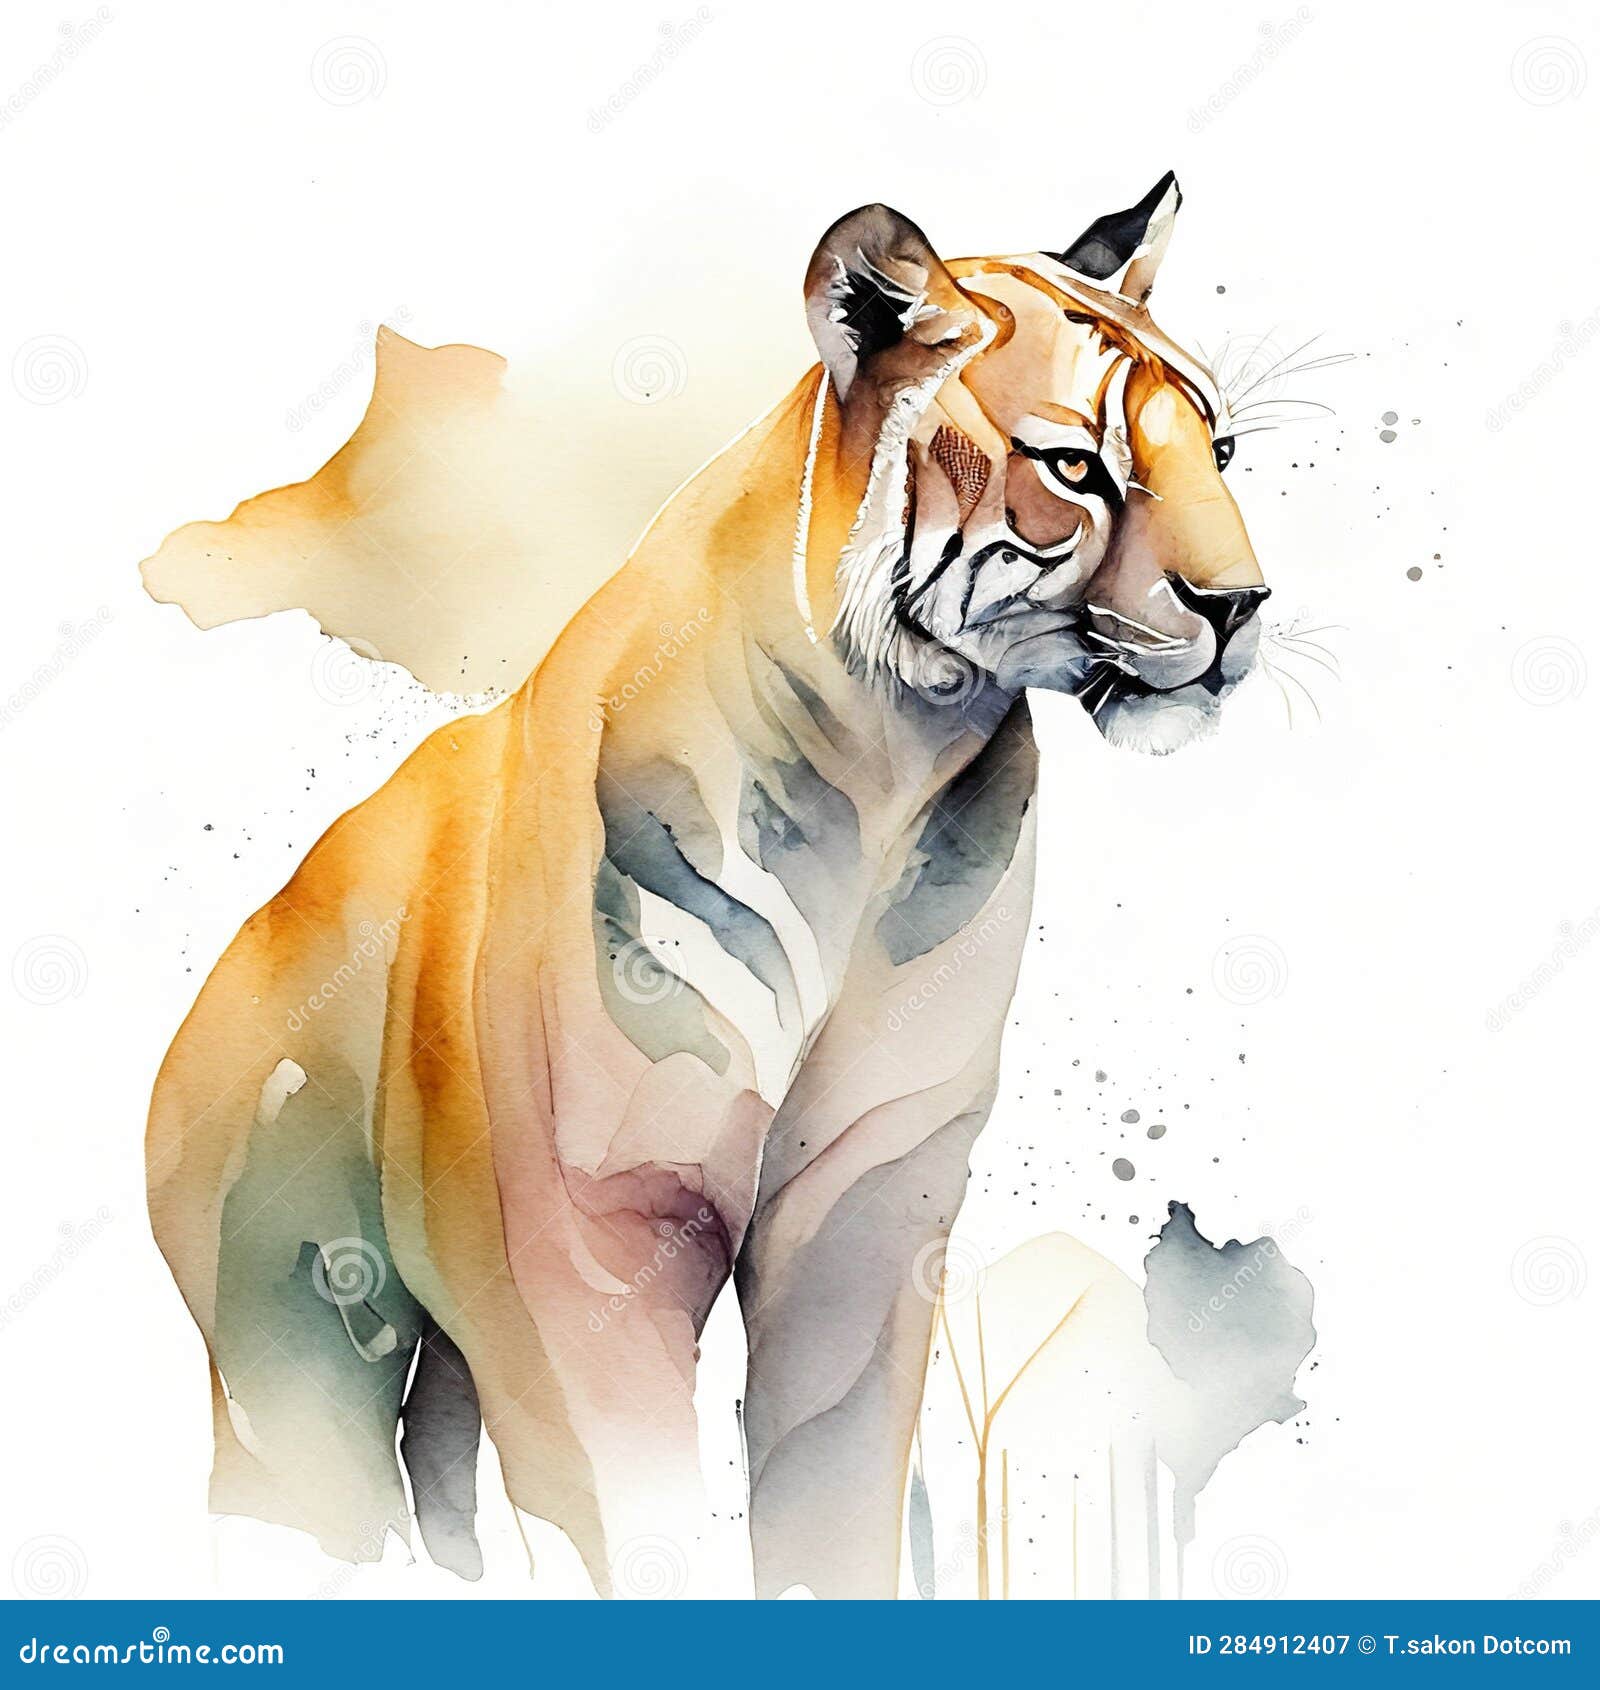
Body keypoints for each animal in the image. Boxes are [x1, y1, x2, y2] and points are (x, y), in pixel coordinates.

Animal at [146, 173, 1267, 1599]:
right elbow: (640, 1520)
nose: (1242, 603)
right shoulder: (589, 1234)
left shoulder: (868, 1197)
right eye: (1076, 466)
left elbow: (831, 1494)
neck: (895, 759)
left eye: (1220, 452)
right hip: (293, 1348)